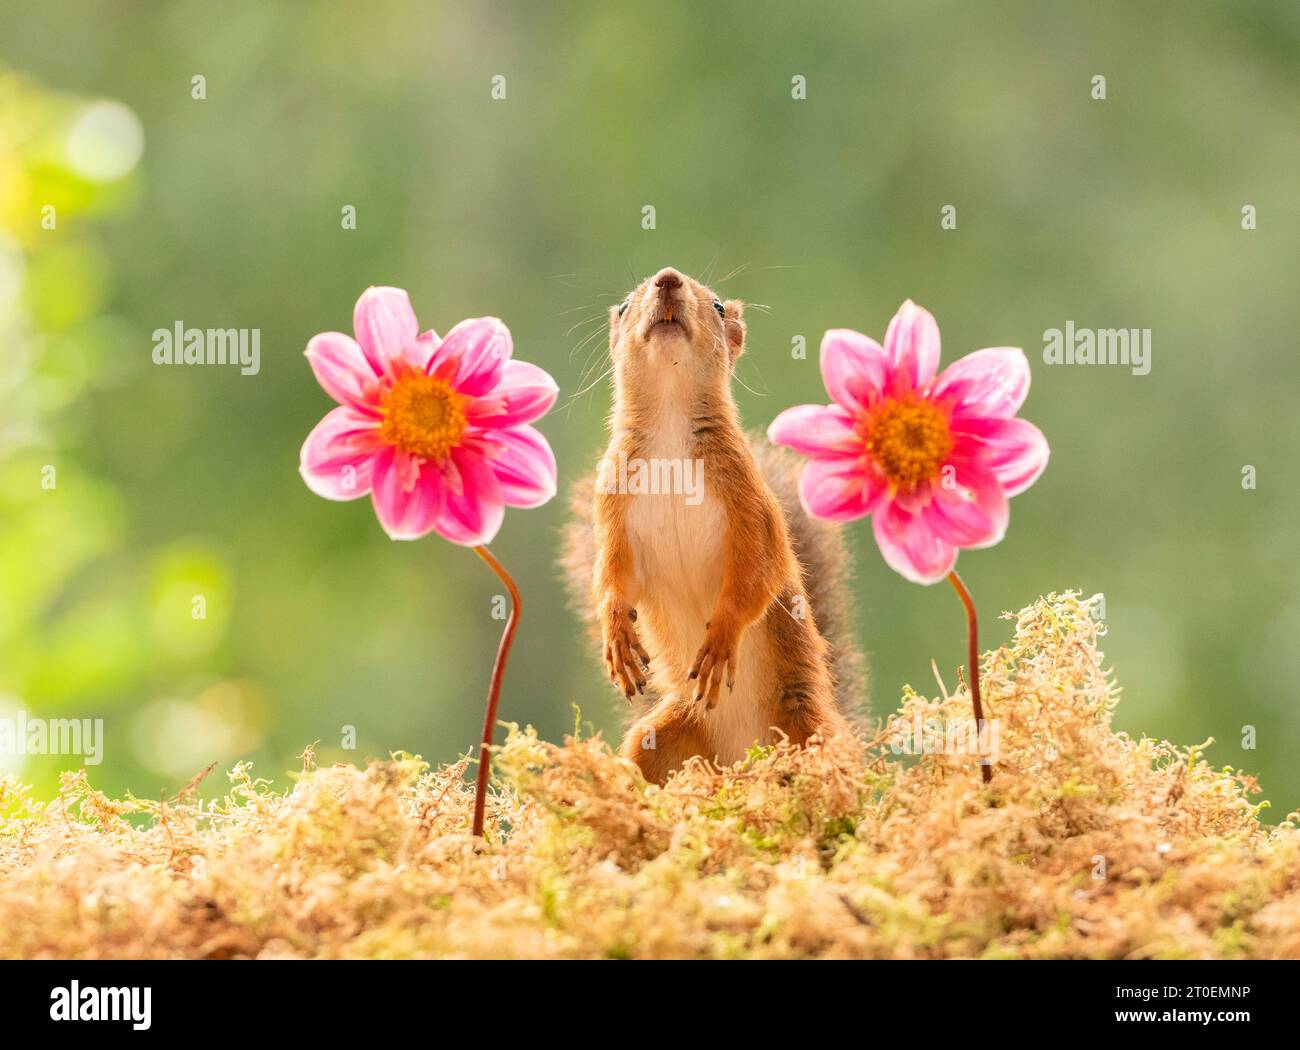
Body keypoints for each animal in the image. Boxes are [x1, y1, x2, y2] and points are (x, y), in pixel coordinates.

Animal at [562, 267, 865, 784]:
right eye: (624, 305)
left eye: (720, 306)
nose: (667, 279)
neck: (669, 421)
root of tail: (742, 760)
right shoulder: (613, 509)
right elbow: (613, 574)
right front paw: (616, 633)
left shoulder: (750, 505)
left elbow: (758, 574)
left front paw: (721, 637)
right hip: (664, 738)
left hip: (807, 730)